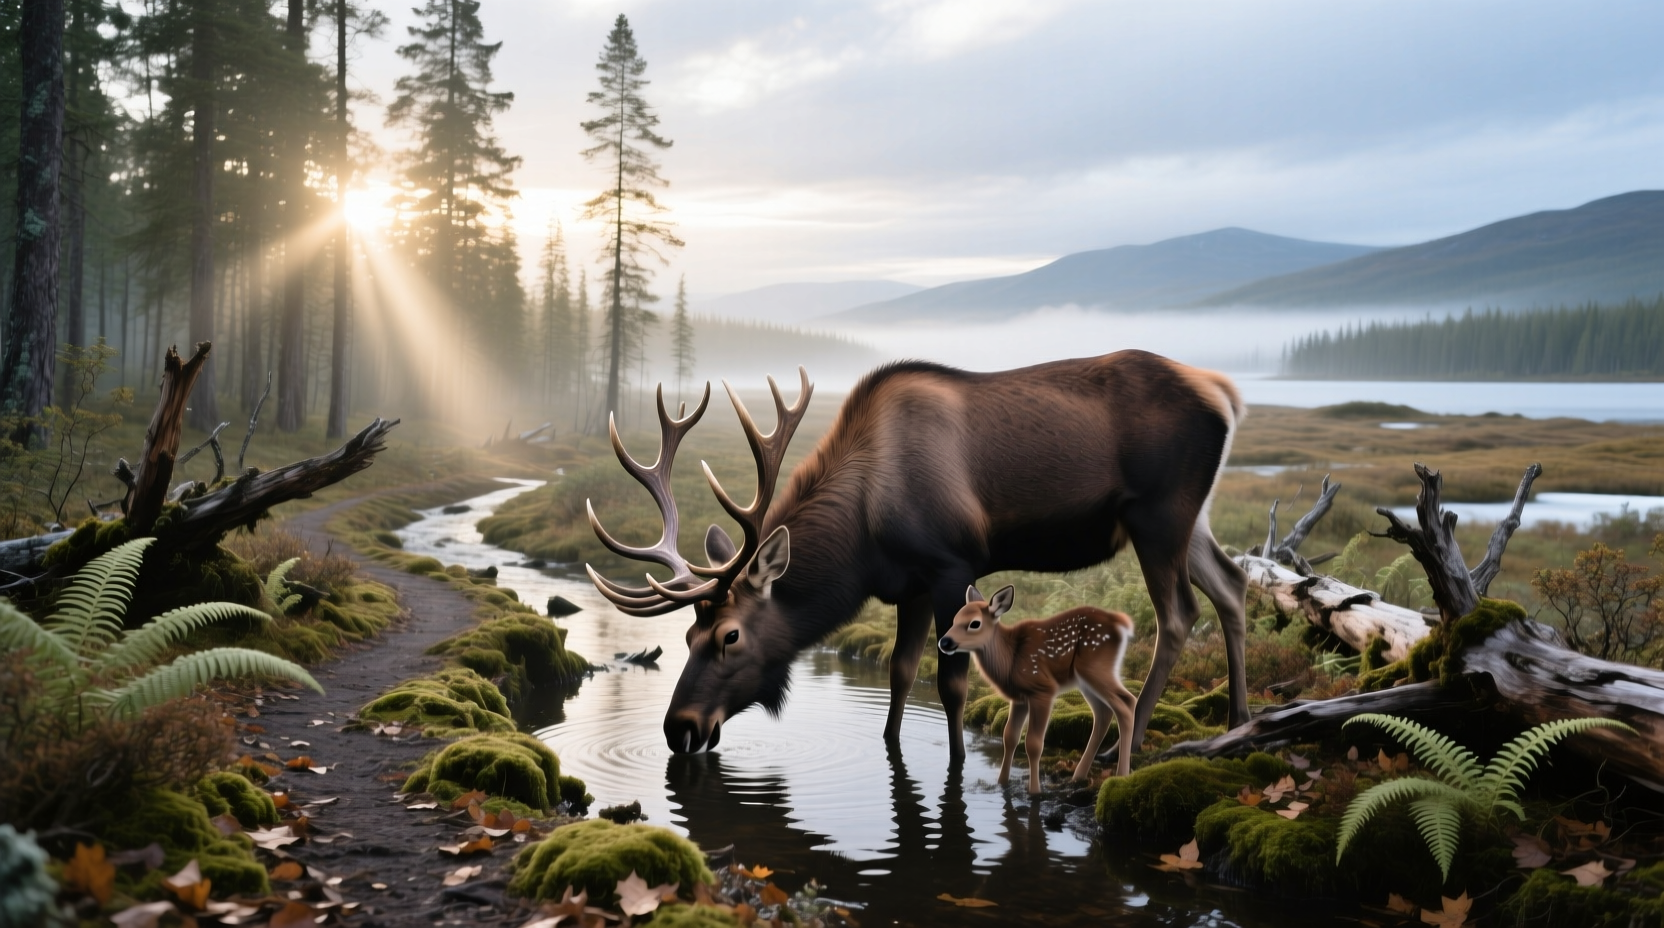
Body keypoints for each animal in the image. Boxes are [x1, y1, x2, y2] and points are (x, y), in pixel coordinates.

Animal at [585, 350, 1249, 765]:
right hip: (1191, 517)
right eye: (686, 636)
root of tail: (1226, 394)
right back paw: (1238, 720)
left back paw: (1118, 748)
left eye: (729, 636)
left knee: (1179, 614)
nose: (679, 728)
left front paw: (955, 762)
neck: (862, 535)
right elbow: (901, 674)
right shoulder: (907, 585)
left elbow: (951, 684)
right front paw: (891, 746)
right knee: (1234, 583)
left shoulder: (953, 565)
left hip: (1159, 512)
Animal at [938, 585, 1137, 792]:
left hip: (1096, 667)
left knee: (1126, 702)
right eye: (955, 619)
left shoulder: (1042, 689)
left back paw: (1121, 775)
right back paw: (1078, 776)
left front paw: (1034, 791)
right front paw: (1002, 783)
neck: (1009, 660)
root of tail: (1121, 622)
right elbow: (1009, 737)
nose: (945, 642)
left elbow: (1034, 744)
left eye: (975, 623)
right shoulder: (1018, 698)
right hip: (1085, 679)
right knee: (1103, 712)